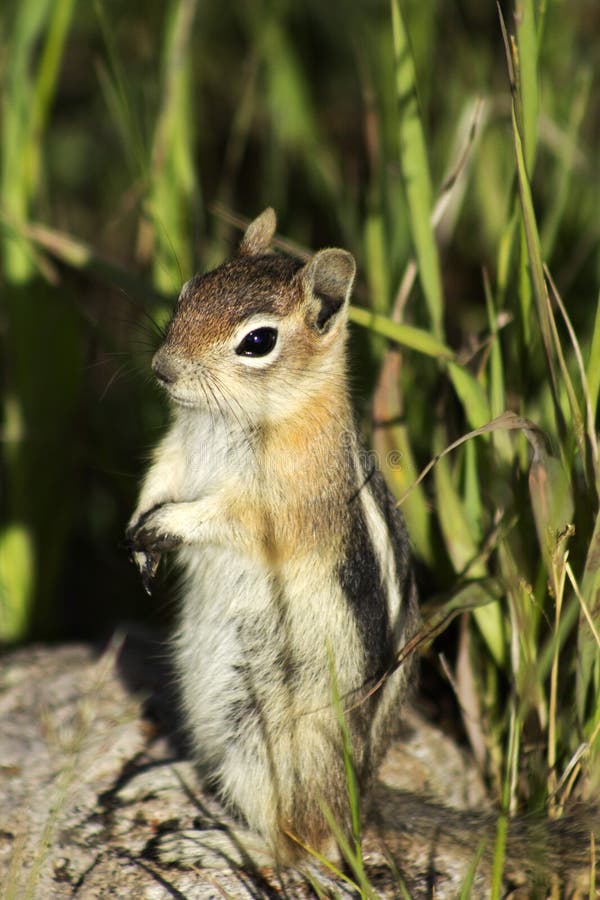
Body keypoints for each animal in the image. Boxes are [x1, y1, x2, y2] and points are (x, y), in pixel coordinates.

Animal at [125, 208, 421, 871]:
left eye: (257, 342)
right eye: (187, 292)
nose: (161, 369)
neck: (227, 419)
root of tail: (359, 806)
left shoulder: (280, 502)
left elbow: (228, 517)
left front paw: (165, 527)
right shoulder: (176, 450)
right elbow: (157, 479)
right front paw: (136, 533)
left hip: (265, 747)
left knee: (293, 845)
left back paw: (212, 839)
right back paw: (160, 778)